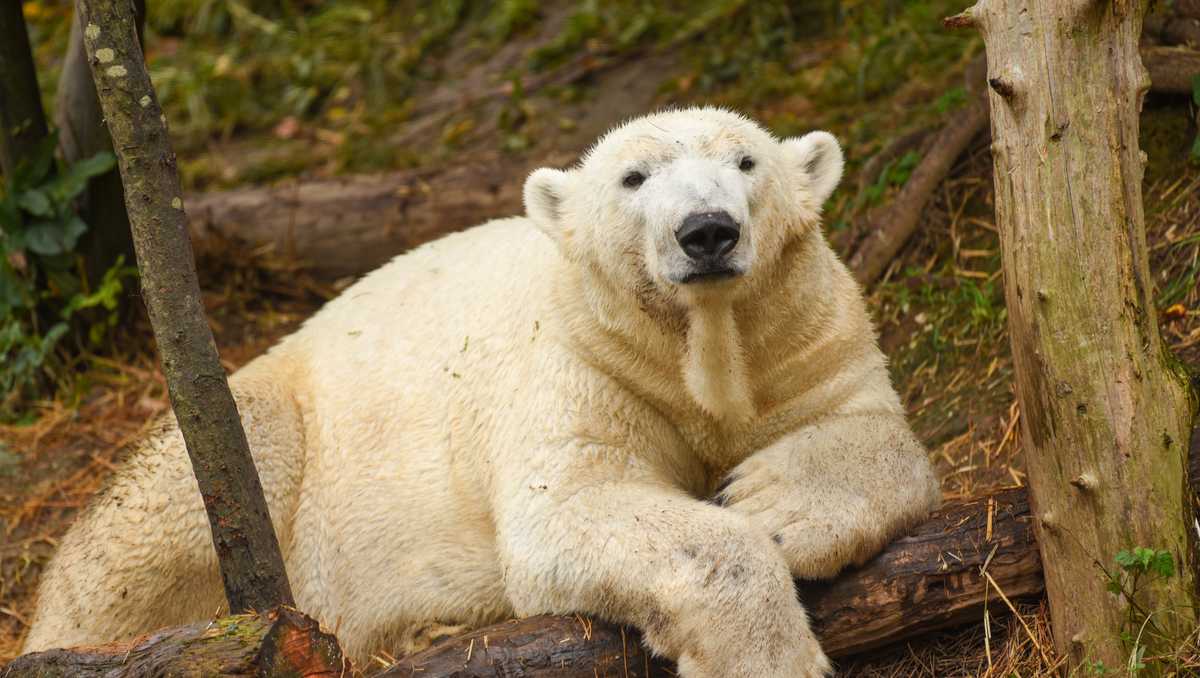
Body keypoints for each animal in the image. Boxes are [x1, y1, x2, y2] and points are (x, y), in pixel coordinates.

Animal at [22, 107, 940, 677]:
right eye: (634, 178)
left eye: (747, 162)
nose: (706, 231)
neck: (695, 346)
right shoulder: (583, 365)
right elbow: (571, 504)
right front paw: (765, 647)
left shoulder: (803, 339)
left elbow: (879, 432)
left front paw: (773, 499)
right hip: (258, 425)